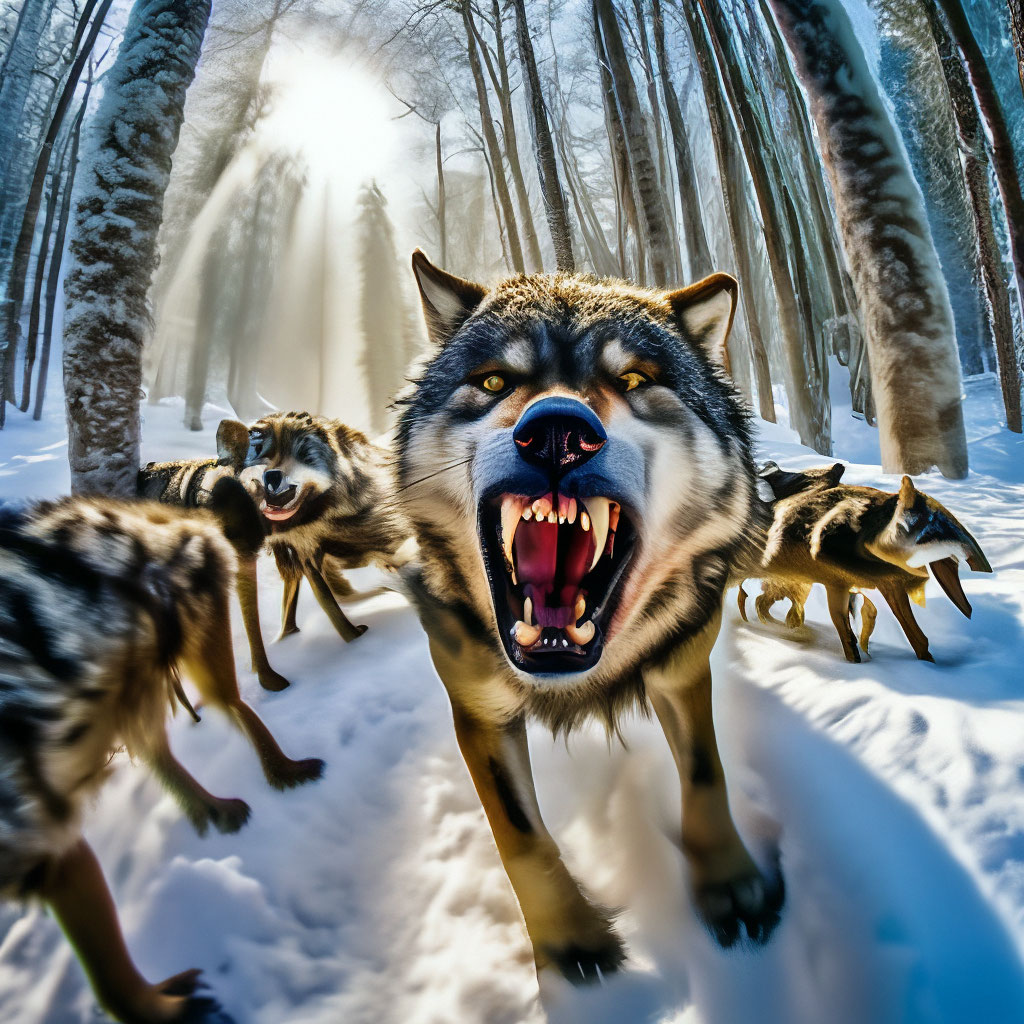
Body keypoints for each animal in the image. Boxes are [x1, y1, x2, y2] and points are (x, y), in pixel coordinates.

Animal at [0, 479, 323, 1022]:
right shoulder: (45, 840)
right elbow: (113, 979)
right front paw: (164, 1008)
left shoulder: (48, 840)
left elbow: (112, 978)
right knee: (198, 718)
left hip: (174, 632)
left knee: (213, 711)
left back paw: (250, 783)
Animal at [394, 250, 784, 981]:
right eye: (494, 380)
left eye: (633, 379)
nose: (555, 432)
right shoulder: (478, 710)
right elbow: (519, 835)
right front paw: (569, 939)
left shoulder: (681, 670)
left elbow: (705, 776)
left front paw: (731, 883)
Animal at [738, 464, 991, 662]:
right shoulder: (839, 584)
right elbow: (850, 637)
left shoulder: (885, 583)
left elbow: (916, 638)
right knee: (761, 601)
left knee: (762, 602)